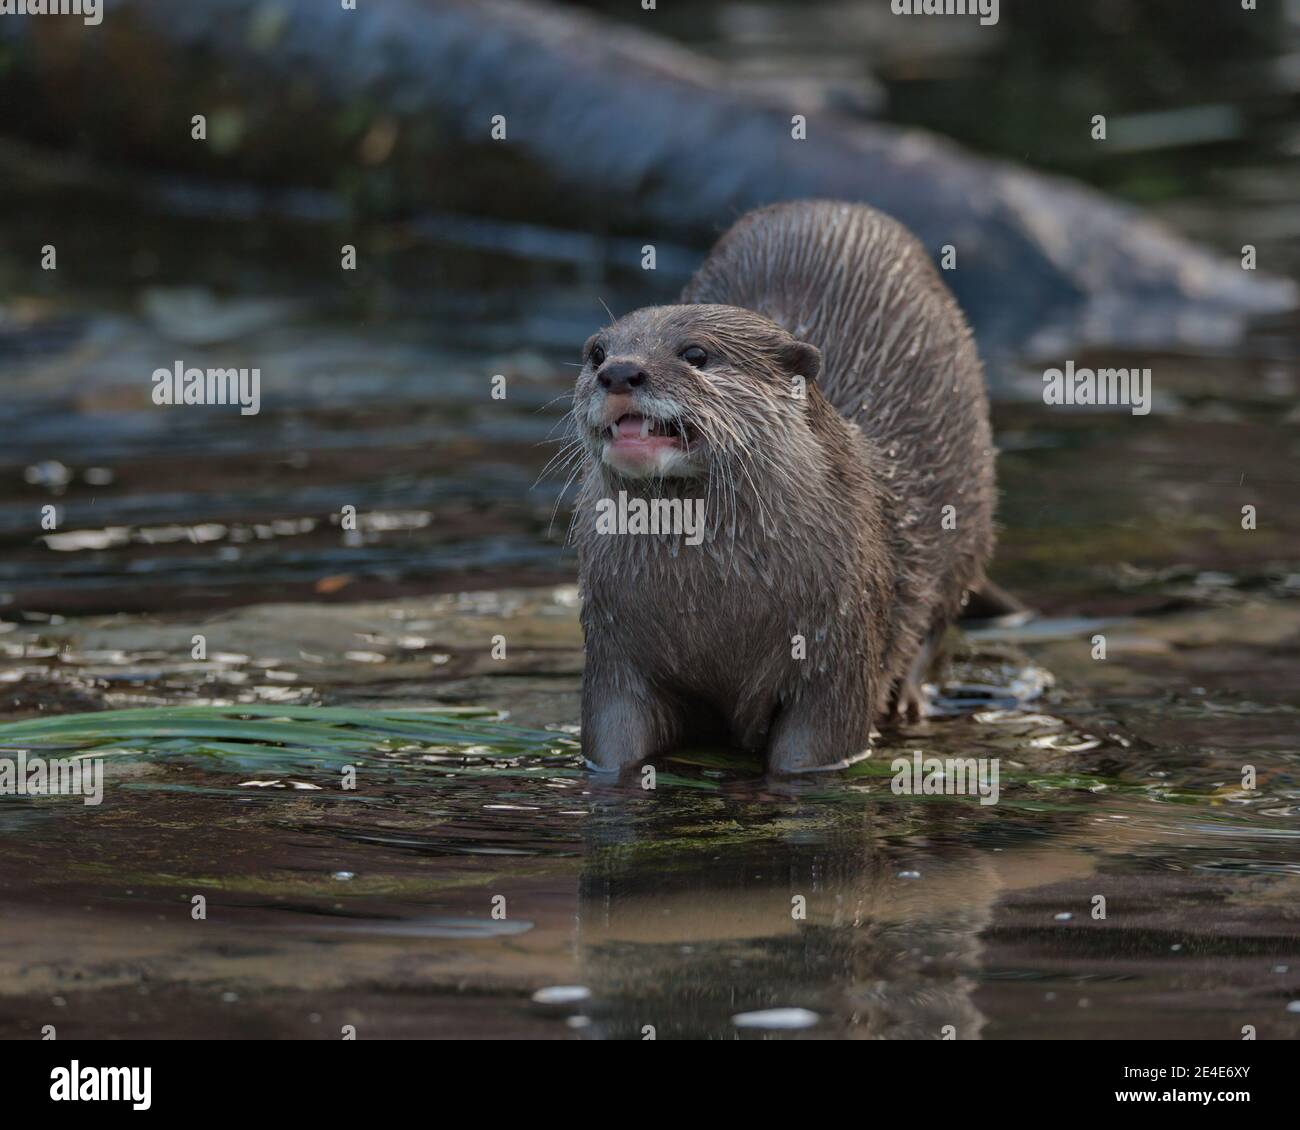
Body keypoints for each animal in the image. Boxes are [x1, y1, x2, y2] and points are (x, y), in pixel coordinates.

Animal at [571, 200, 996, 773]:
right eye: (597, 351)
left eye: (695, 354)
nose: (619, 371)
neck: (714, 606)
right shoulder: (614, 653)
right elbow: (612, 744)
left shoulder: (838, 651)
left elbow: (815, 748)